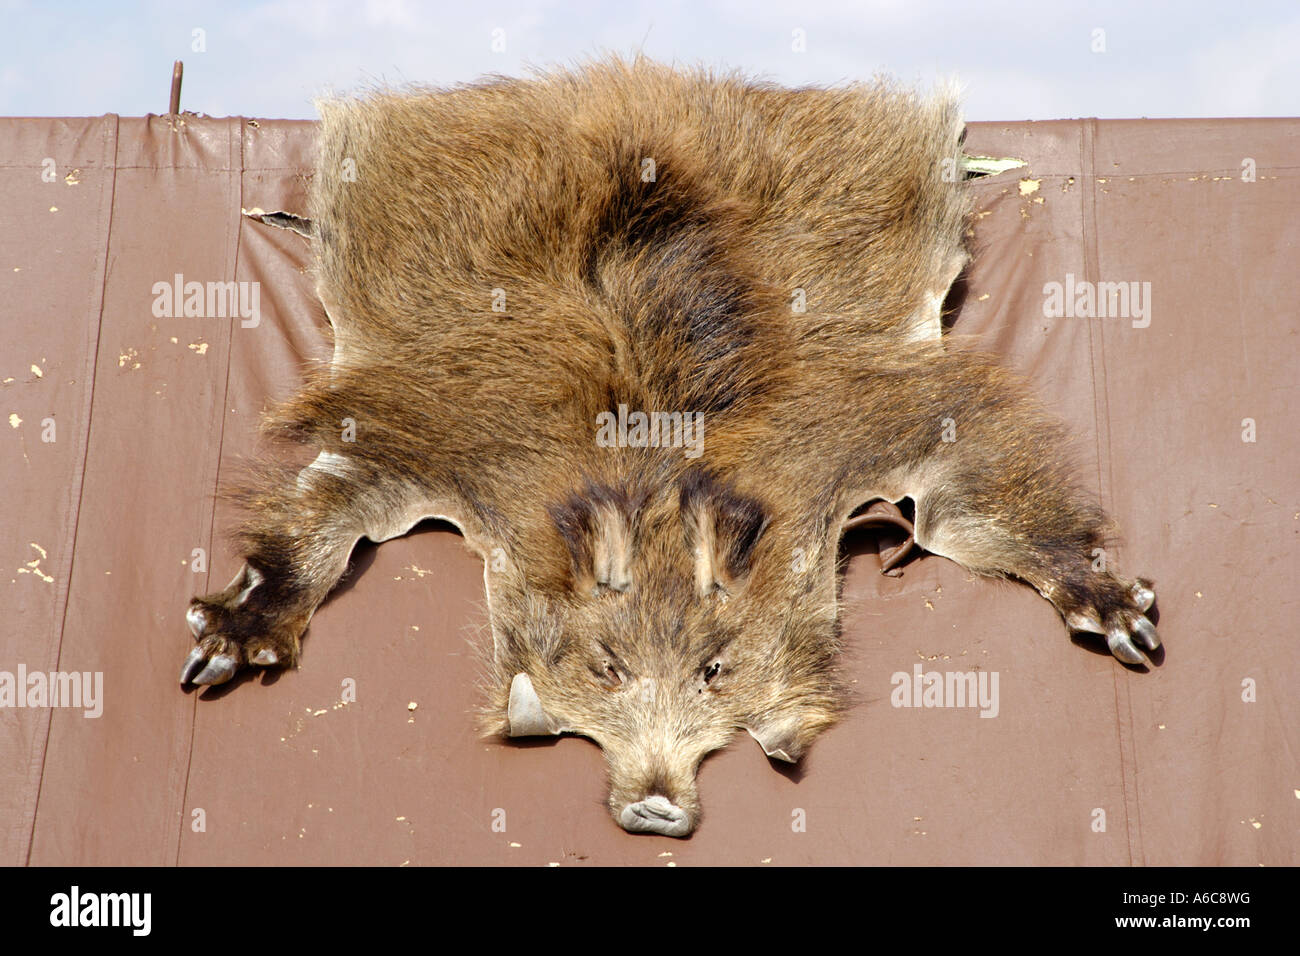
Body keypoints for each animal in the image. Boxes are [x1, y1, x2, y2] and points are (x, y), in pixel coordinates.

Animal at [180, 57, 1159, 837]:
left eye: (716, 669)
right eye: (605, 666)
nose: (656, 808)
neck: (651, 490)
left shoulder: (872, 444)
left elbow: (969, 512)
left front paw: (1125, 619)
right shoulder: (433, 446)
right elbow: (322, 513)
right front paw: (220, 648)